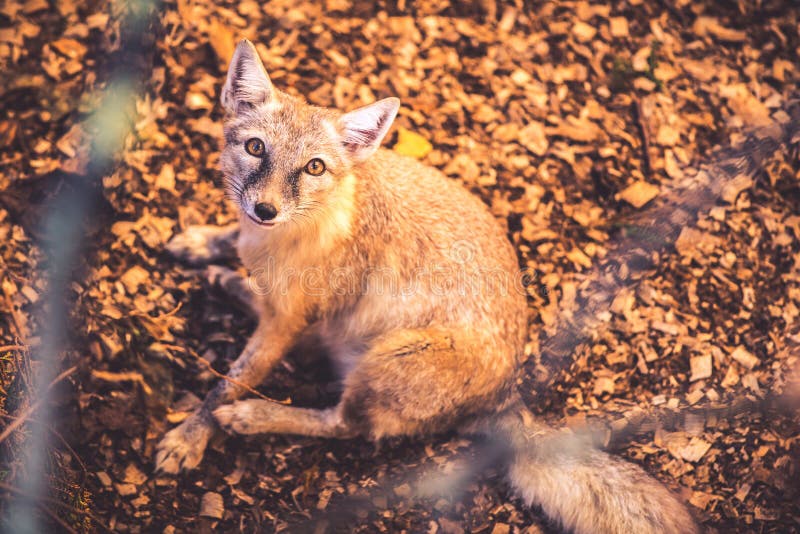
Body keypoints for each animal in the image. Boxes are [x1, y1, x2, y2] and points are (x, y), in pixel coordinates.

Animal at [155, 39, 698, 533]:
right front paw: (203, 243)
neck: (287, 237)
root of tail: (506, 395)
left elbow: (227, 383)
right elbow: (230, 246)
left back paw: (252, 414)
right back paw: (226, 283)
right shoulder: (273, 288)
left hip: (385, 358)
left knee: (345, 425)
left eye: (313, 167)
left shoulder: (285, 321)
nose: (264, 209)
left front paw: (191, 438)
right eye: (255, 148)